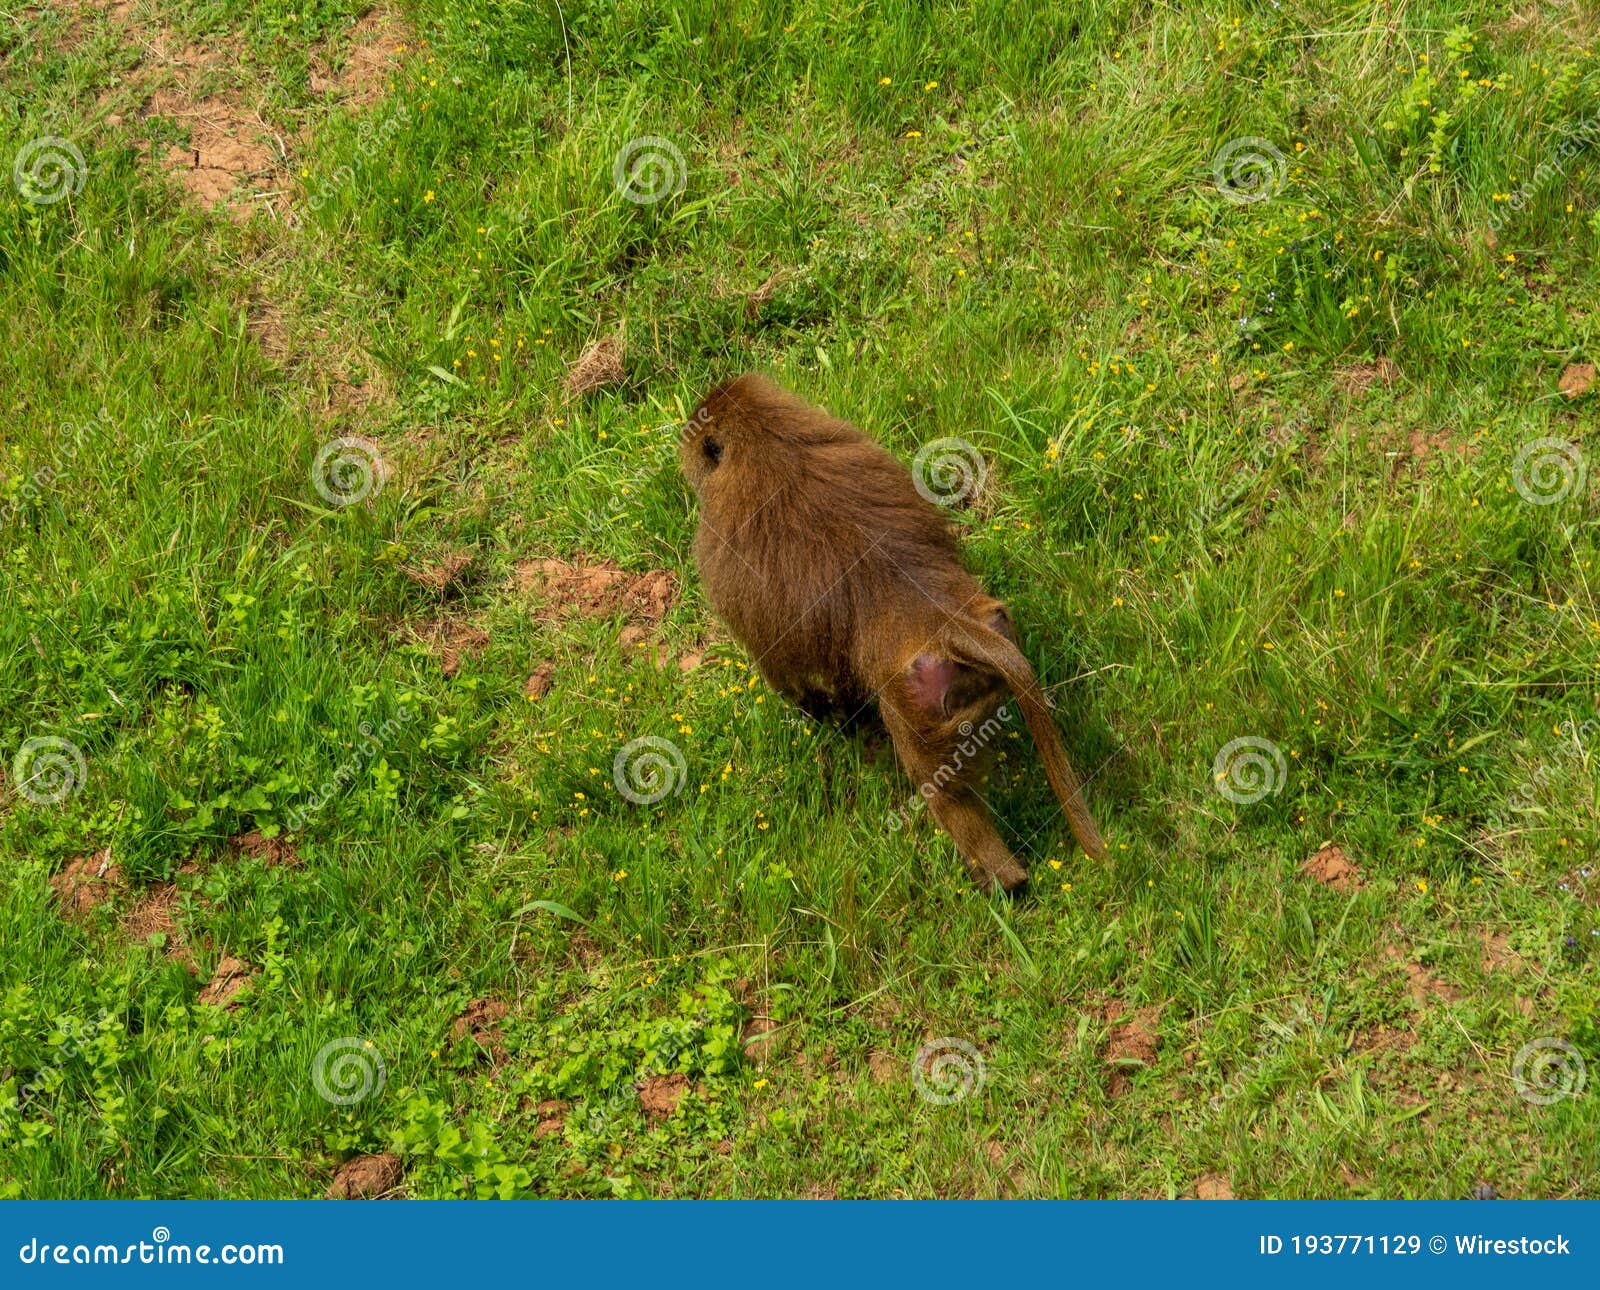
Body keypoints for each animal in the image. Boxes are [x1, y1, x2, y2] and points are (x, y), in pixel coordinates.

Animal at [677, 373, 1106, 892]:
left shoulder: (717, 542)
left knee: (944, 795)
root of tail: (943, 622)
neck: (761, 437)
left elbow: (779, 668)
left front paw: (821, 716)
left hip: (918, 708)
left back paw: (1002, 881)